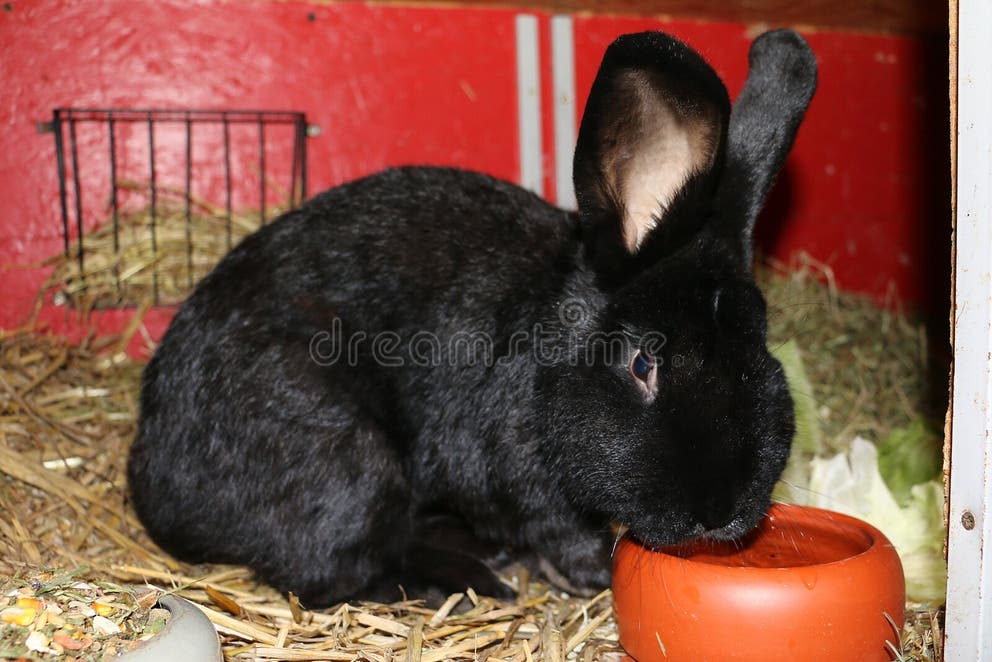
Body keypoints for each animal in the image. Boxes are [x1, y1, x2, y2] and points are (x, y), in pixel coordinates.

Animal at [127, 28, 817, 607]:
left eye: (762, 345)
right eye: (644, 362)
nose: (722, 511)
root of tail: (154, 485)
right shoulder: (518, 475)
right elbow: (559, 528)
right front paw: (593, 574)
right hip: (347, 463)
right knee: (332, 573)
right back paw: (460, 584)